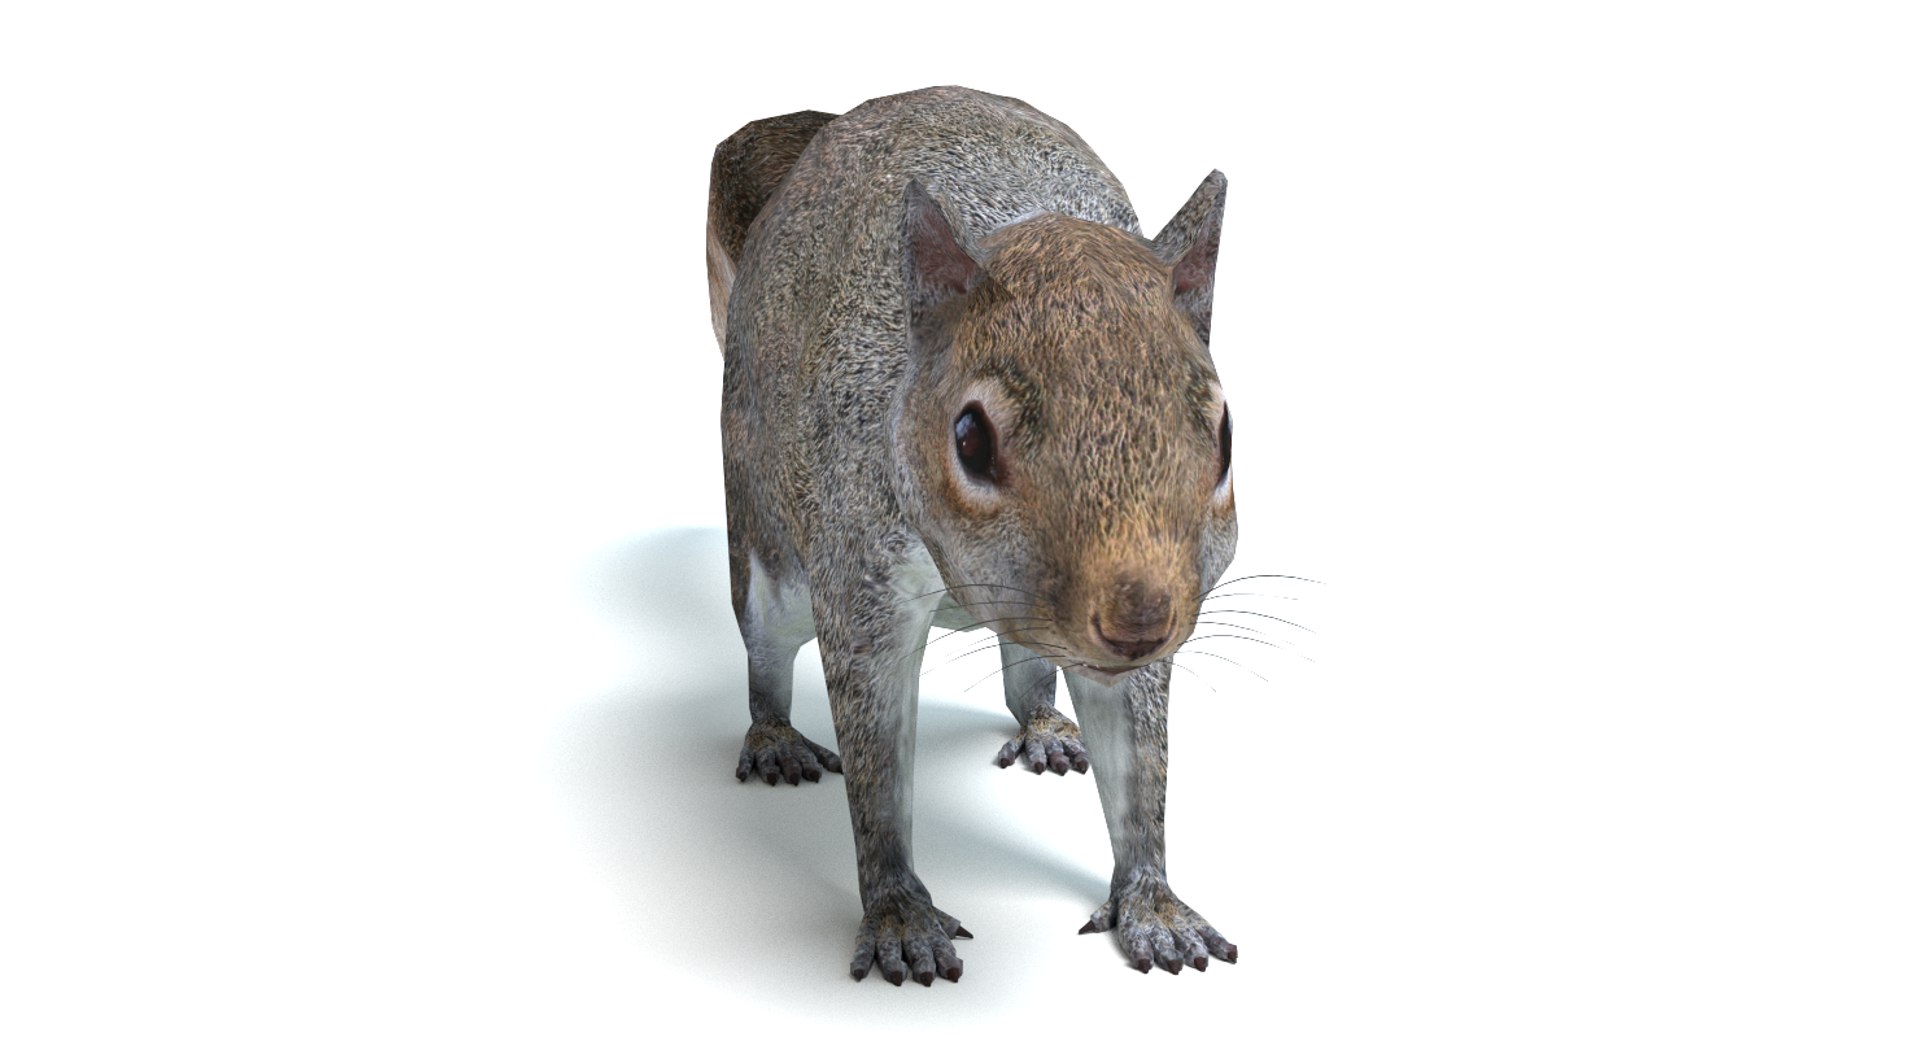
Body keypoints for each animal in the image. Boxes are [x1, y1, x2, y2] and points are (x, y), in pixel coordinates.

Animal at [706, 86, 1238, 985]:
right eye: (969, 439)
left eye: (1227, 436)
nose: (1138, 622)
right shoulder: (861, 577)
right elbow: (877, 753)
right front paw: (899, 915)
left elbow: (1139, 757)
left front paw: (1154, 905)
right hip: (767, 552)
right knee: (766, 651)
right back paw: (775, 737)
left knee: (1029, 673)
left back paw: (1044, 727)